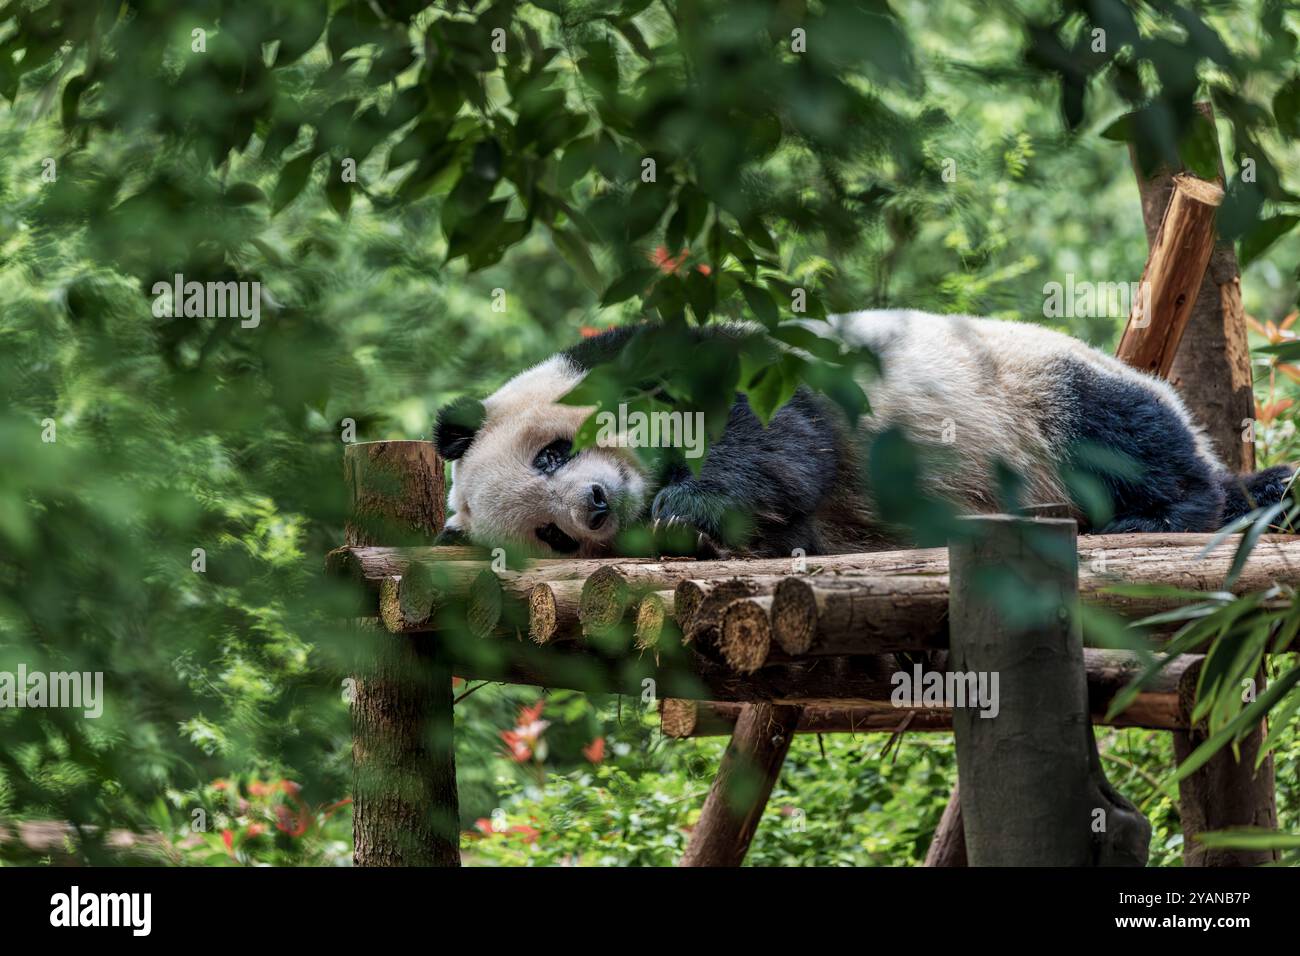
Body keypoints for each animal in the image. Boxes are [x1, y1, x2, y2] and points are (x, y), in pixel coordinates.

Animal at [433, 311, 1293, 558]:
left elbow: (770, 434)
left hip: (1035, 384)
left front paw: (693, 505)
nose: (597, 506)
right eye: (552, 536)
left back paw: (1180, 509)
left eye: (551, 455)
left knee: (1122, 431)